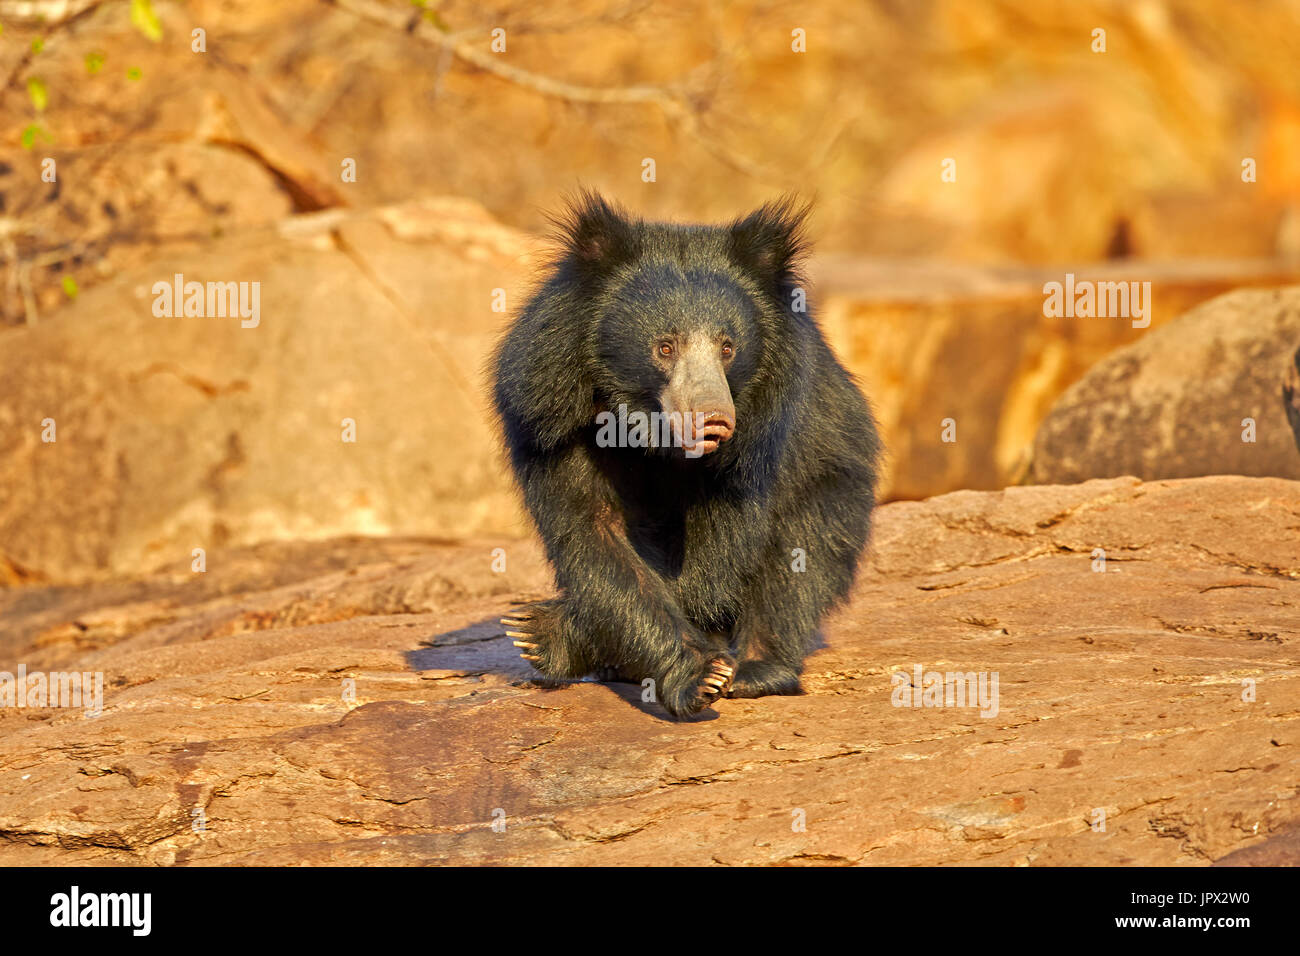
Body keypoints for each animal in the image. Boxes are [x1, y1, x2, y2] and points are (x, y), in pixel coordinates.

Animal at [491, 192, 881, 717]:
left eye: (727, 347)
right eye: (665, 347)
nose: (713, 419)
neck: (650, 434)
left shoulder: (768, 437)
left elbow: (731, 549)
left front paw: (716, 671)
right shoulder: (554, 417)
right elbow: (597, 532)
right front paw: (699, 674)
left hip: (832, 464)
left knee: (806, 550)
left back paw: (757, 668)